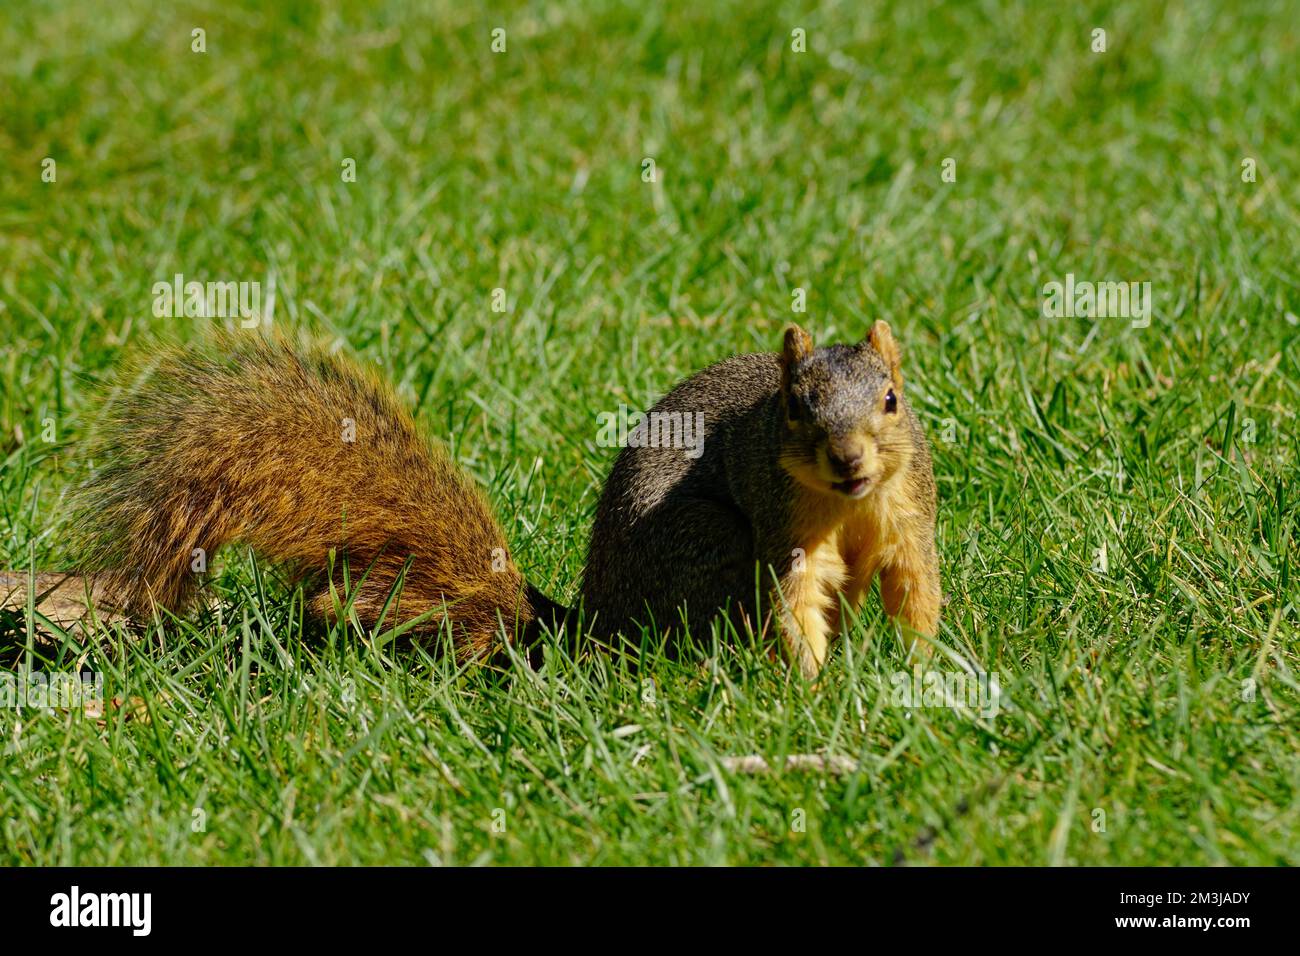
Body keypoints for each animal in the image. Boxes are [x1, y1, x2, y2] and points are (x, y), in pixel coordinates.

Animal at [59, 322, 939, 677]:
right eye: (795, 407)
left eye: (892, 400)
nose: (849, 459)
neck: (847, 505)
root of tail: (594, 624)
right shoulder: (784, 526)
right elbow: (796, 598)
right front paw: (811, 685)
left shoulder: (906, 519)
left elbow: (916, 587)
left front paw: (926, 665)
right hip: (705, 544)